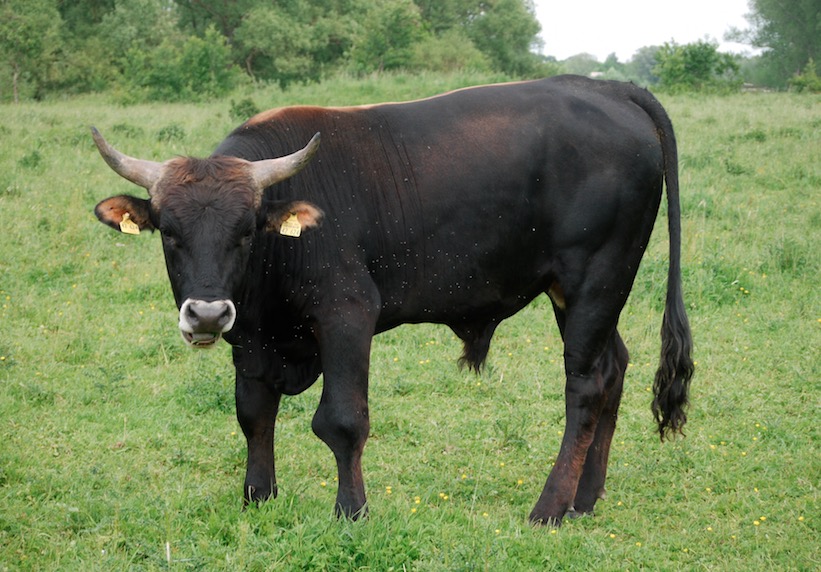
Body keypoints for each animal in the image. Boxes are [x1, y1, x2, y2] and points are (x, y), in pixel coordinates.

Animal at [91, 75, 693, 526]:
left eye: (245, 232)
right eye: (170, 232)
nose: (208, 313)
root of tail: (610, 88)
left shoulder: (347, 315)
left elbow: (341, 420)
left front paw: (351, 511)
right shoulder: (253, 338)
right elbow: (254, 415)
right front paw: (258, 498)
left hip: (595, 280)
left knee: (585, 386)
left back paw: (548, 509)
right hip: (580, 296)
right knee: (614, 368)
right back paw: (585, 501)